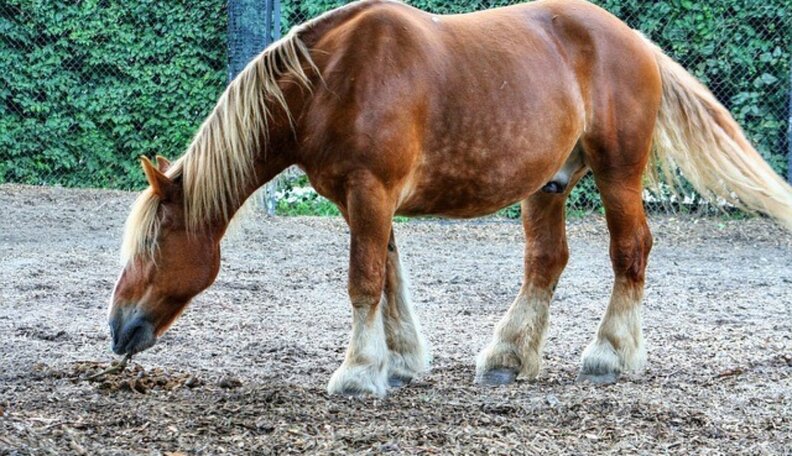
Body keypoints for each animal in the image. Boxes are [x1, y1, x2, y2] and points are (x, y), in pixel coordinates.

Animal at [108, 0, 792, 397]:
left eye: (154, 244)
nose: (117, 329)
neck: (330, 80)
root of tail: (635, 40)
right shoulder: (364, 201)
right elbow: (388, 278)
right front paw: (402, 362)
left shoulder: (369, 193)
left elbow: (364, 280)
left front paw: (358, 372)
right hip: (548, 185)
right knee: (546, 262)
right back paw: (509, 357)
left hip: (616, 172)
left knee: (631, 251)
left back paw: (609, 356)